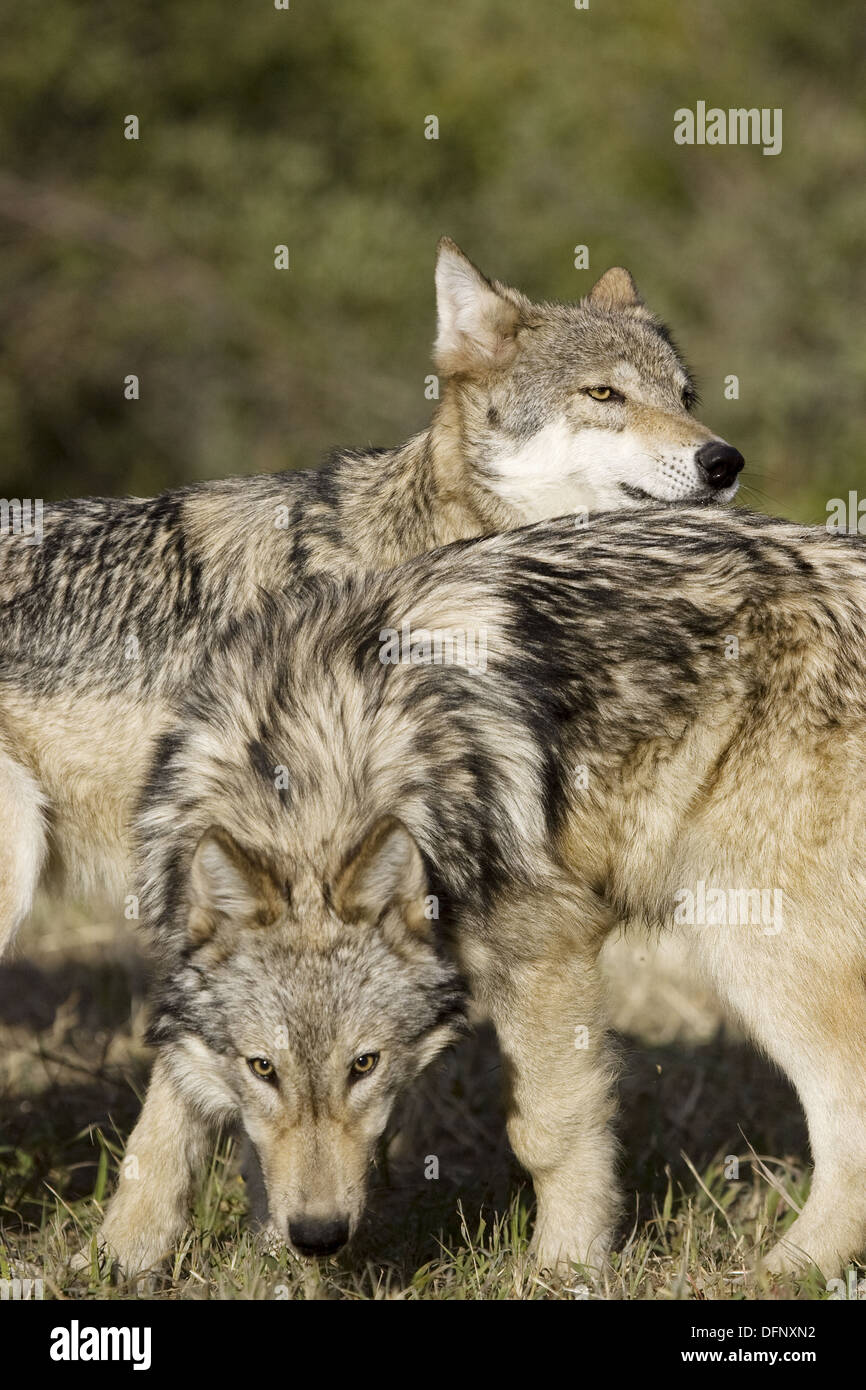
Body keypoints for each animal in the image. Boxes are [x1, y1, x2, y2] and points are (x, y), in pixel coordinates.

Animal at [99, 506, 866, 1282]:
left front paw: (564, 1269)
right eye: (264, 1070)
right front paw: (117, 1256)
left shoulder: (547, 952)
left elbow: (549, 1131)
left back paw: (783, 1272)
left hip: (749, 942)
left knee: (848, 1119)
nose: (317, 1236)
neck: (307, 780)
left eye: (364, 1065)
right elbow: (160, 1124)